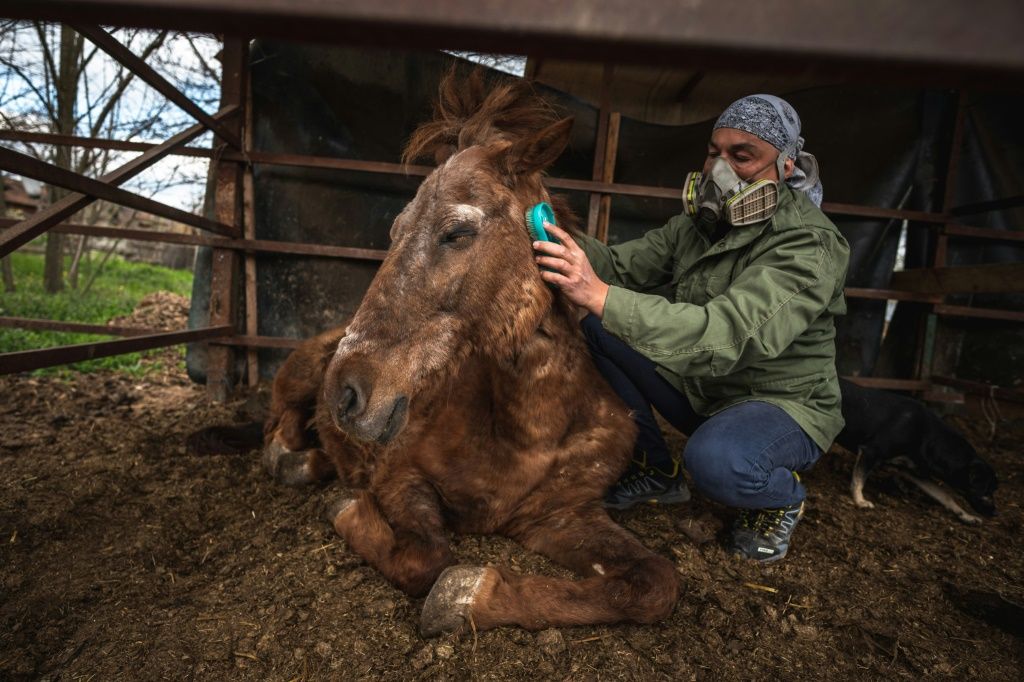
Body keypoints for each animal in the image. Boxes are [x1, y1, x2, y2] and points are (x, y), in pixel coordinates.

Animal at [256, 70, 679, 636]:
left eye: (457, 231)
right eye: (394, 232)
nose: (345, 393)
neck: (530, 431)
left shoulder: (565, 516)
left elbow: (654, 582)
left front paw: (470, 595)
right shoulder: (400, 476)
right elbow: (427, 559)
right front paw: (349, 510)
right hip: (299, 377)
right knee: (280, 432)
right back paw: (303, 459)